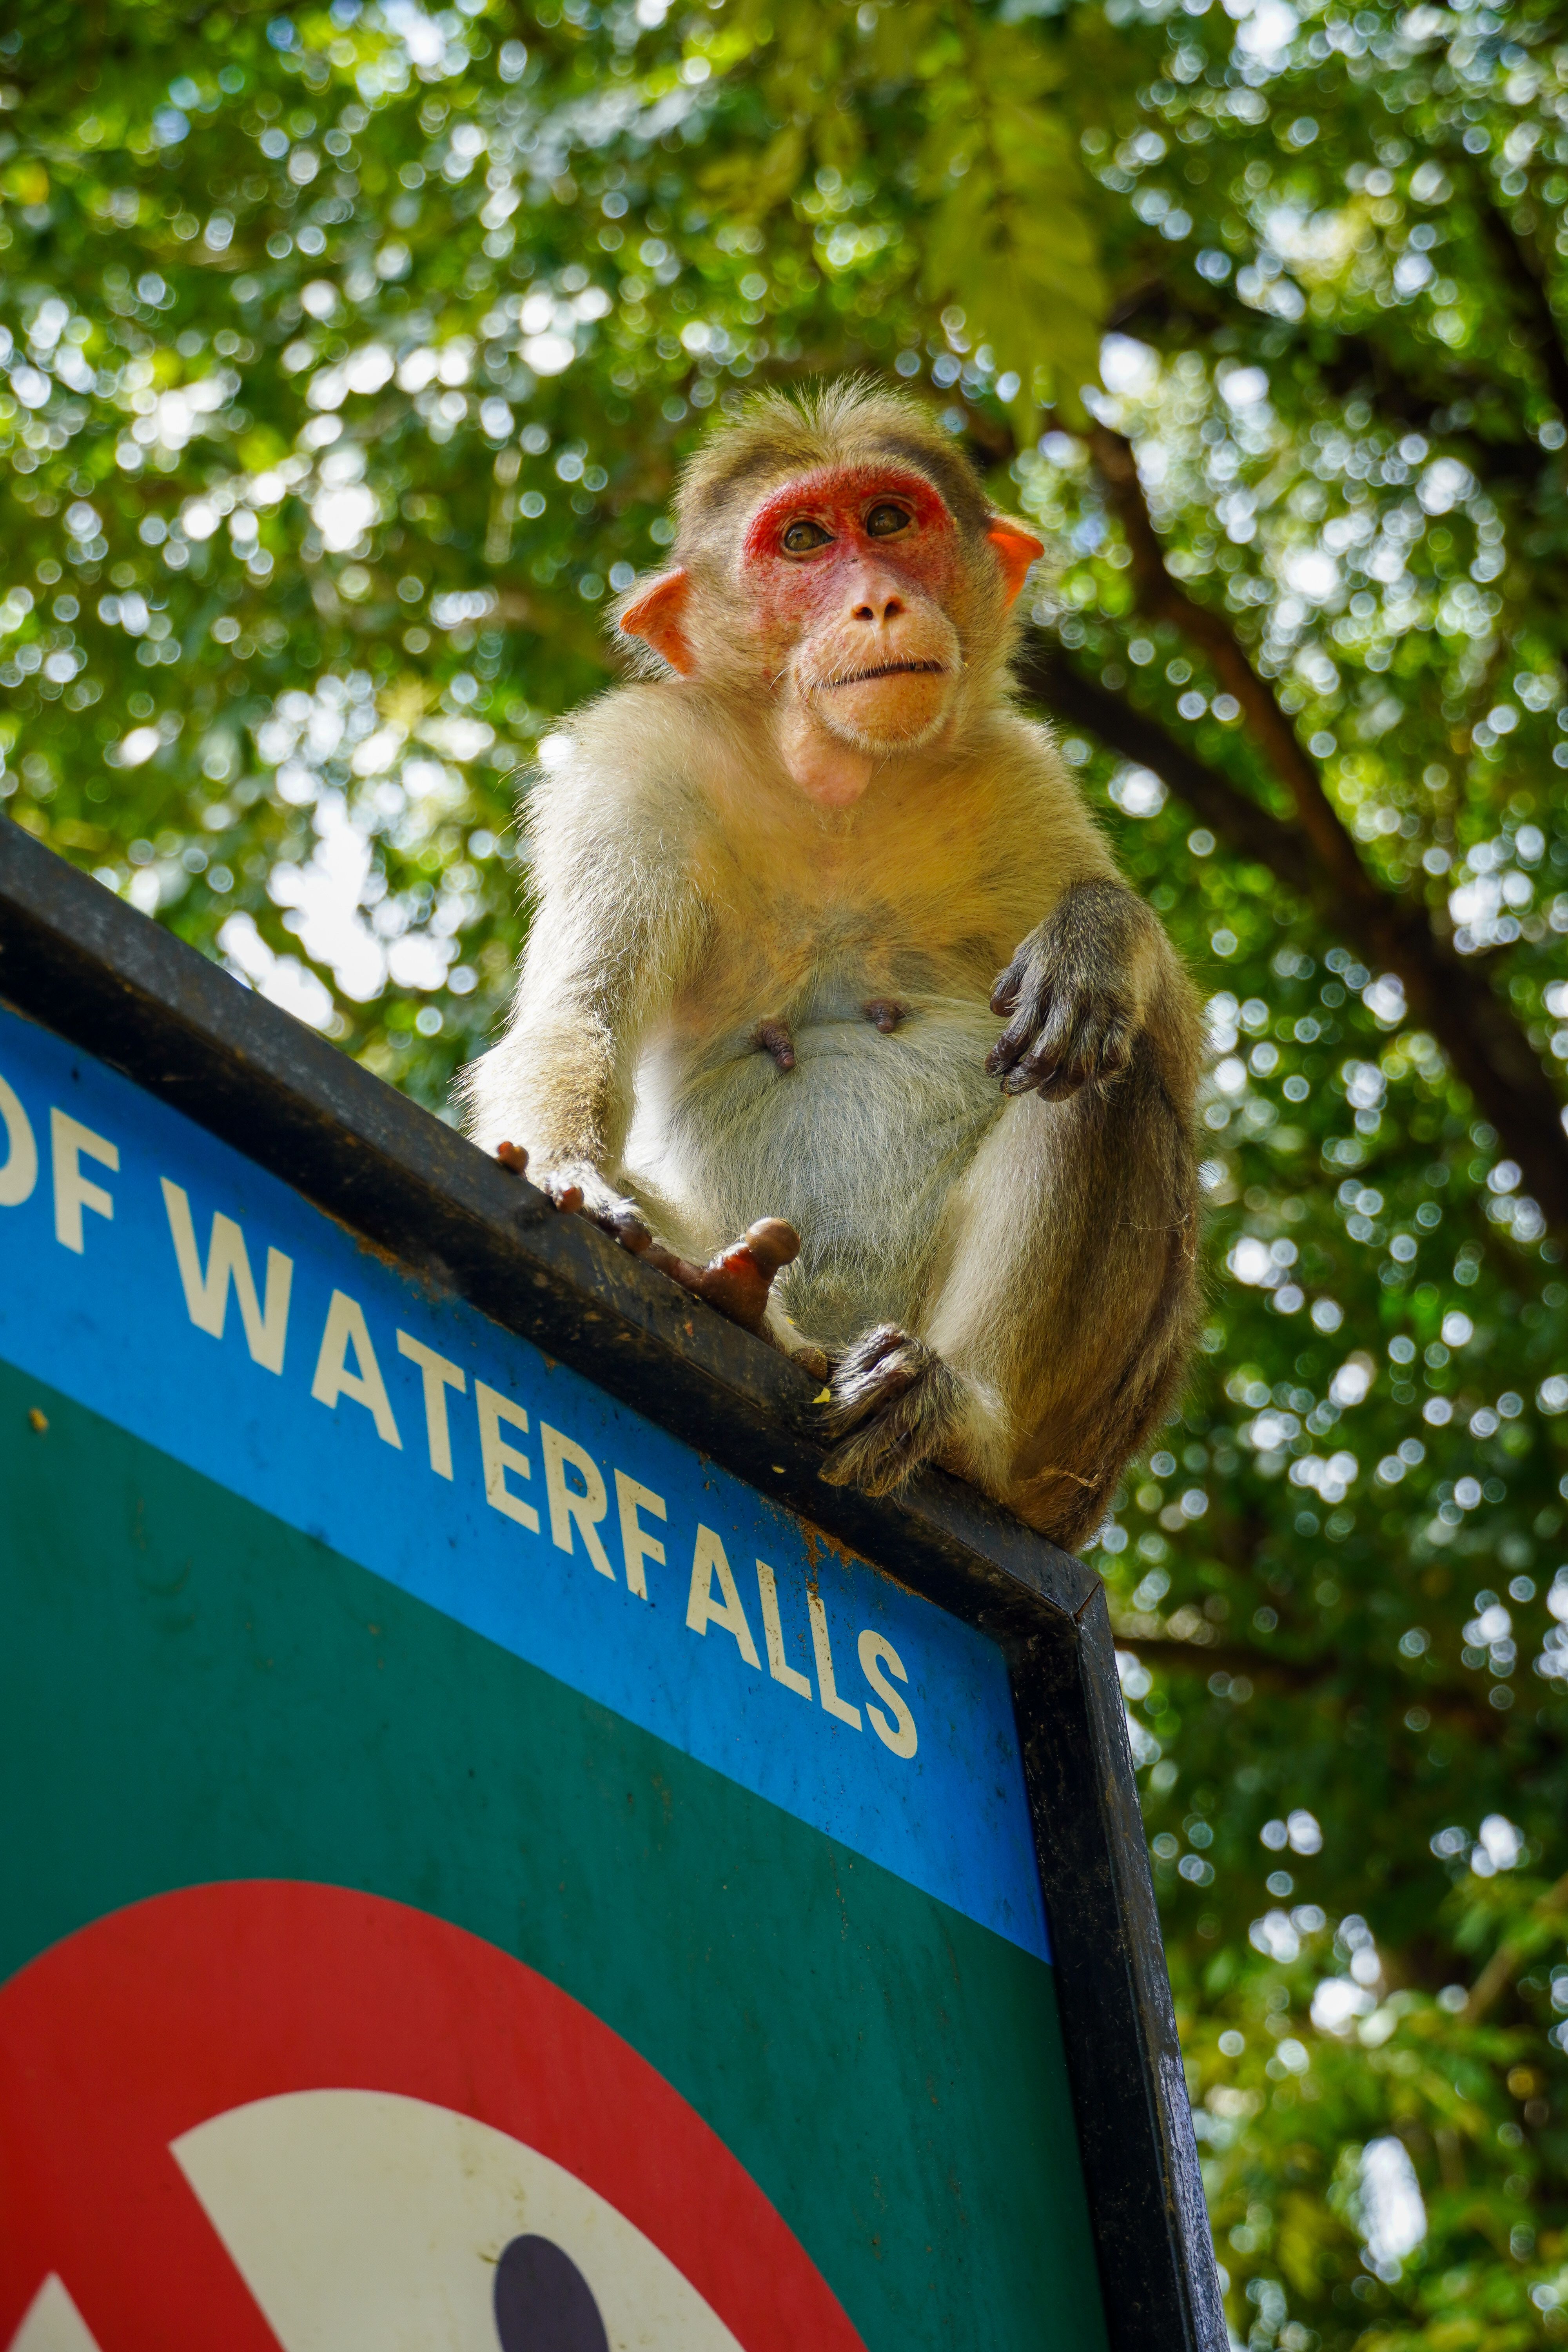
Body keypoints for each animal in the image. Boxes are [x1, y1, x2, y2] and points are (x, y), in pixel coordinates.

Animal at [463, 381, 1202, 1554]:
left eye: (890, 522)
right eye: (804, 541)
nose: (878, 605)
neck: (837, 786)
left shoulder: (1017, 777)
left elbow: (1175, 1046)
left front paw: (1098, 938)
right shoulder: (636, 769)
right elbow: (577, 1021)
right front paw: (566, 1168)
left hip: (1074, 1461)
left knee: (1106, 1080)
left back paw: (961, 1426)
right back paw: (725, 1294)